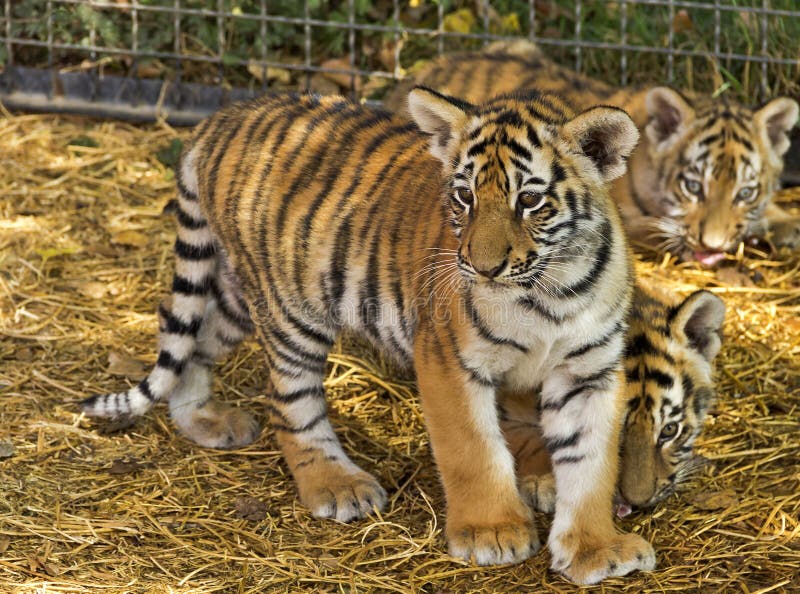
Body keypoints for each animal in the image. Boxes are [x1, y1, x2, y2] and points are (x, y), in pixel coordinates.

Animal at [81, 88, 656, 584]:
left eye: (530, 201)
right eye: (464, 197)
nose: (482, 268)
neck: (552, 291)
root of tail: (225, 115)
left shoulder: (589, 371)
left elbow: (591, 463)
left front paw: (597, 548)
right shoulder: (448, 360)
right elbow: (472, 449)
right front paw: (490, 532)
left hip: (239, 296)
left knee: (194, 341)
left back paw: (202, 419)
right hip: (291, 307)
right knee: (288, 401)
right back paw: (336, 484)